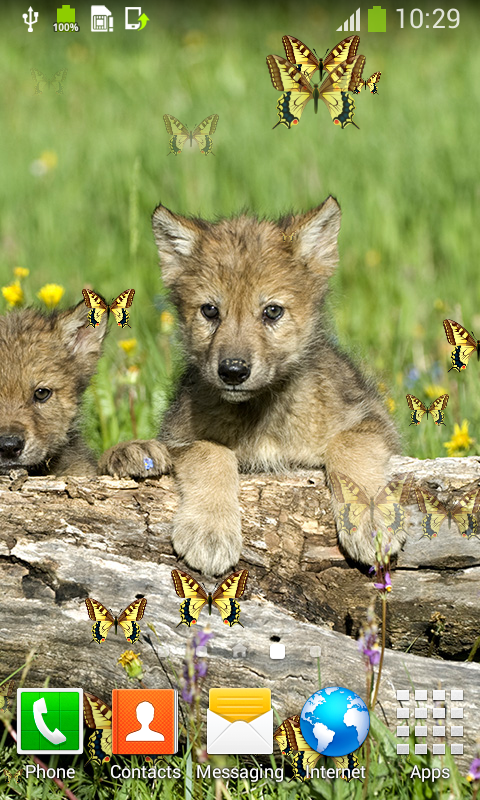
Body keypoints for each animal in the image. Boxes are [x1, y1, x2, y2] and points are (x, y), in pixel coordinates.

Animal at [100, 197, 400, 575]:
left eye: (272, 311)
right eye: (210, 311)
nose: (233, 371)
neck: (262, 415)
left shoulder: (372, 419)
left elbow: (349, 446)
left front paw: (371, 521)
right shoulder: (180, 436)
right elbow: (211, 453)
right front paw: (209, 530)